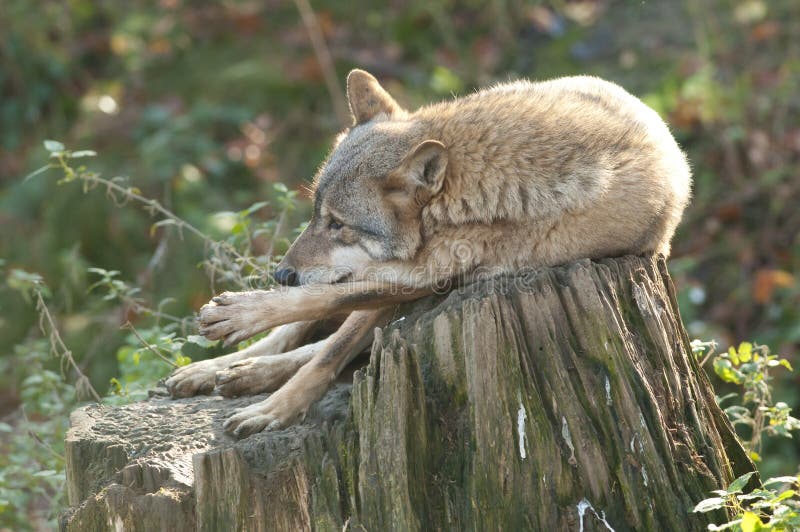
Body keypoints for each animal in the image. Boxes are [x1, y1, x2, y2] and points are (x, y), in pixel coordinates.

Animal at [165, 69, 691, 438]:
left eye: (338, 224)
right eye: (316, 215)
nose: (281, 274)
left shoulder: (432, 274)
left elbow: (327, 341)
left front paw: (272, 406)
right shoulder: (413, 274)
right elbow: (323, 329)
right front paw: (239, 337)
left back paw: (244, 372)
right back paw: (220, 369)